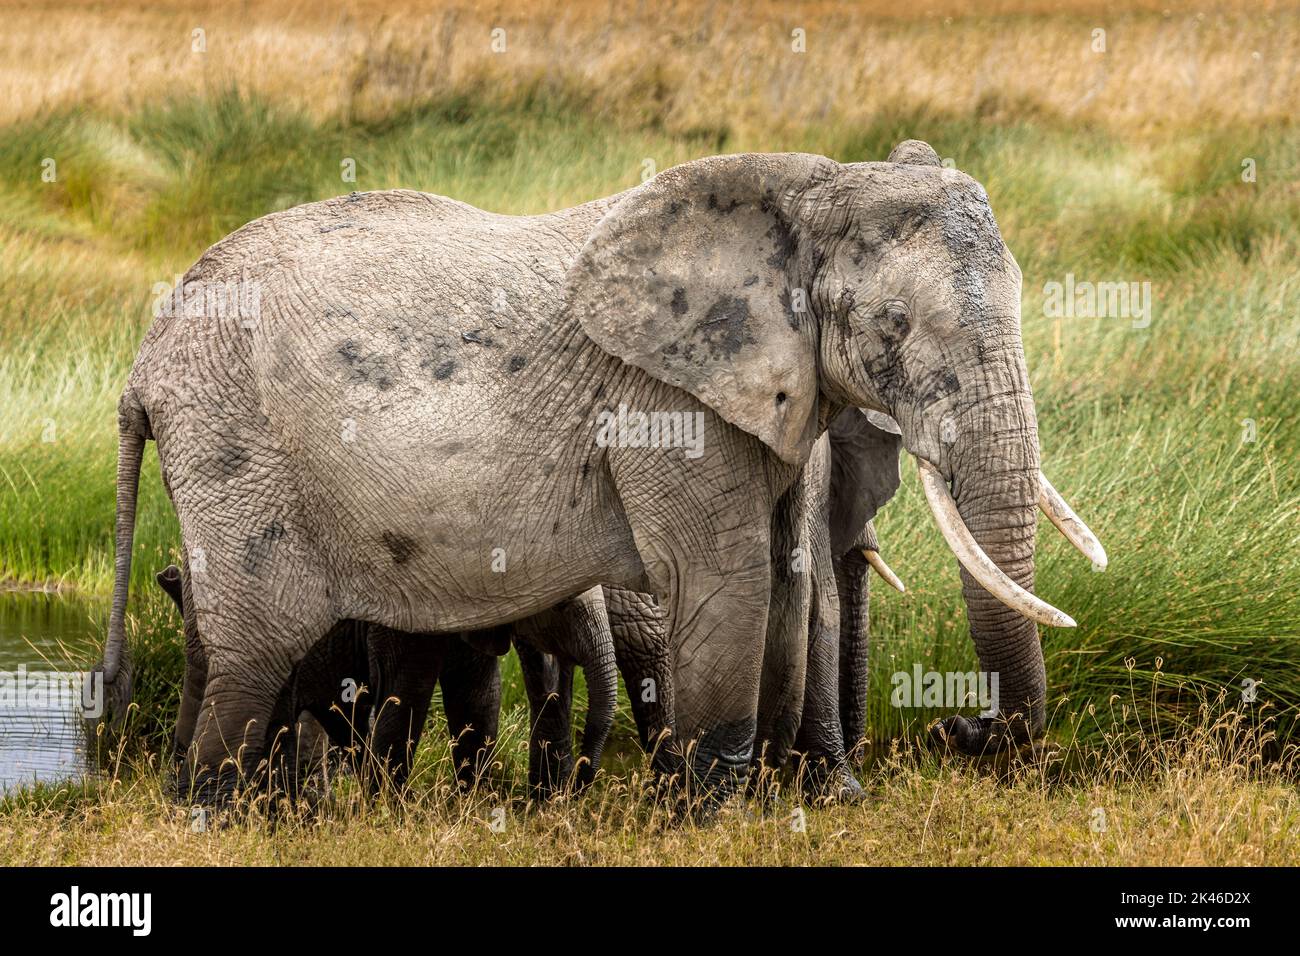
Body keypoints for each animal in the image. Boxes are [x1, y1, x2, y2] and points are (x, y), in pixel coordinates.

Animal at [100, 140, 1106, 807]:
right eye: (894, 324)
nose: (959, 730)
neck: (807, 189)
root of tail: (144, 364)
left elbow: (789, 578)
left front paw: (762, 806)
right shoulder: (664, 395)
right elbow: (728, 575)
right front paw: (709, 812)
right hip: (234, 446)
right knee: (253, 647)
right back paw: (218, 813)